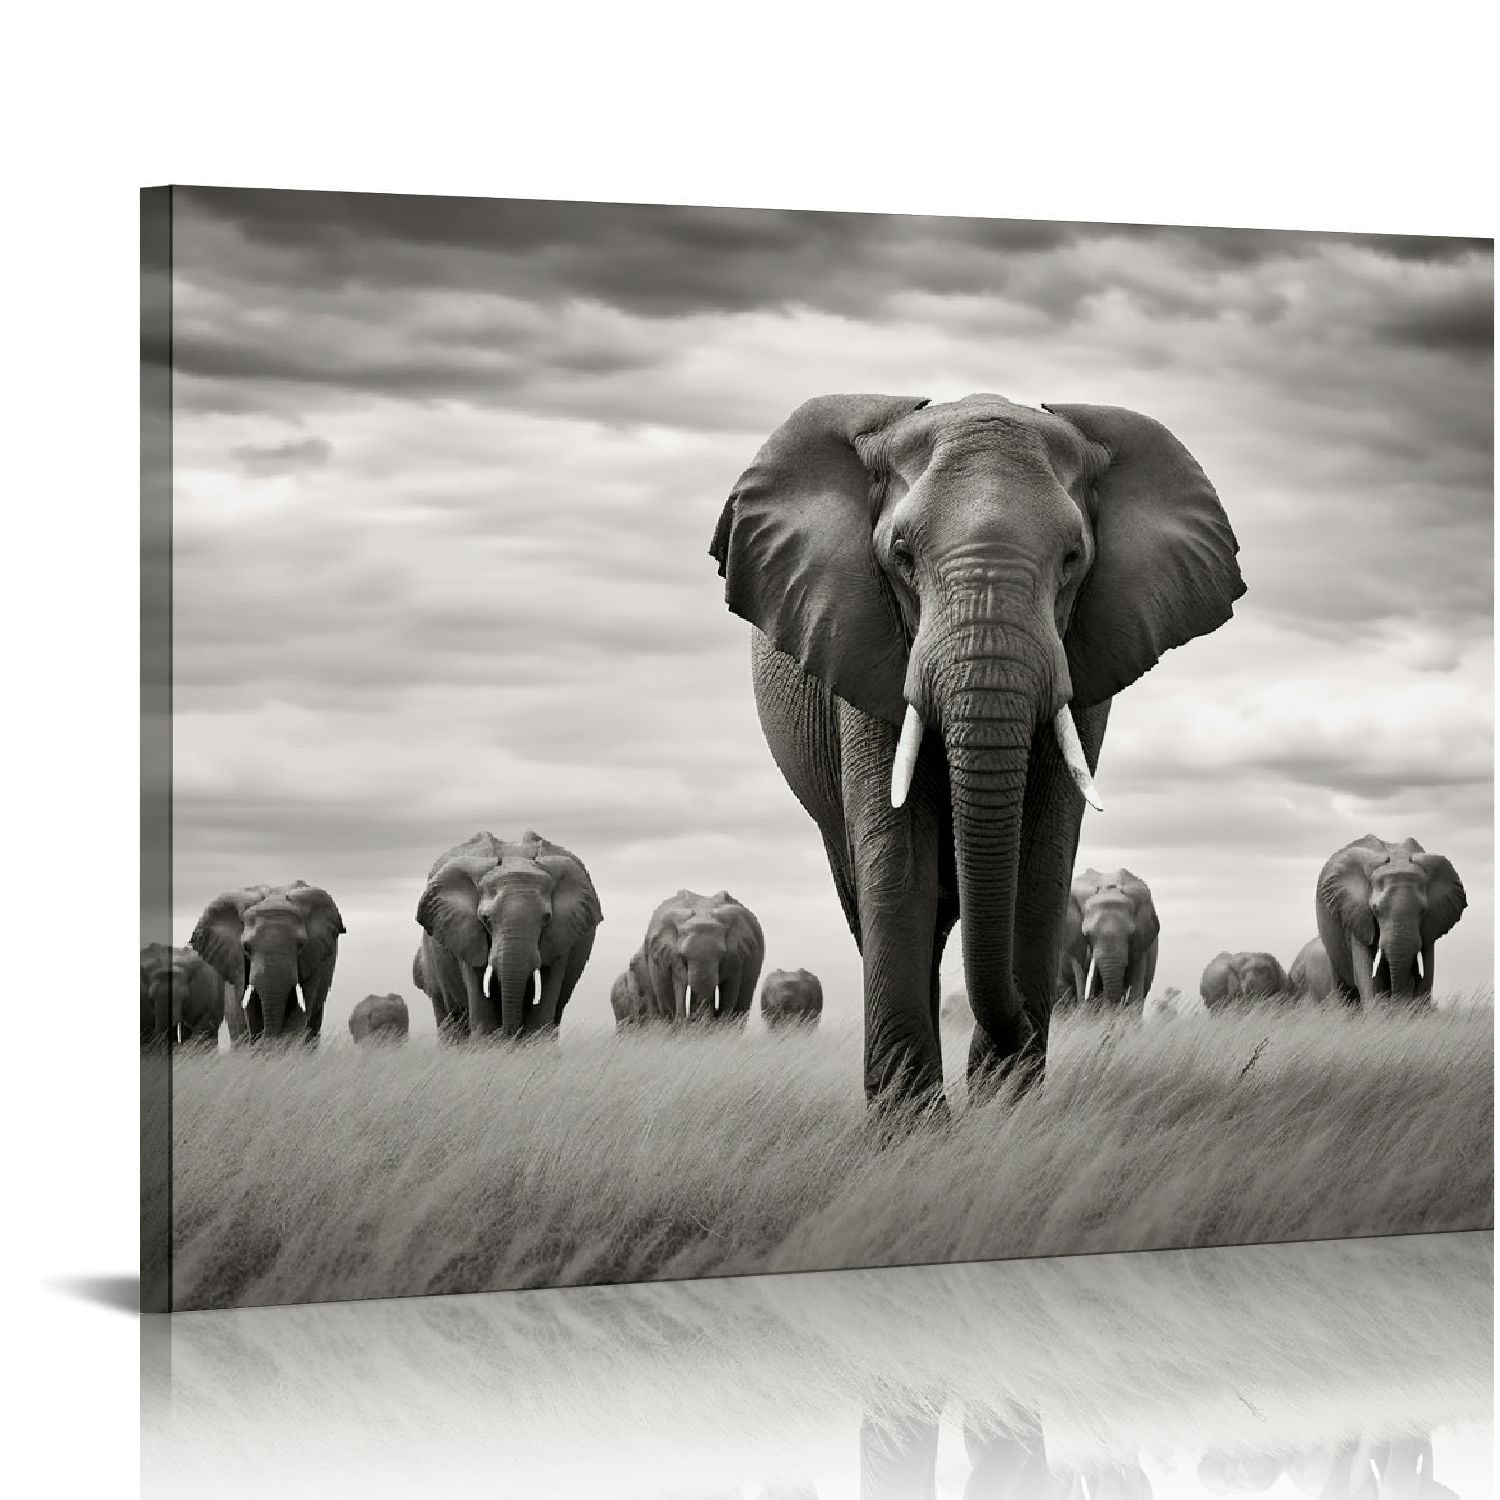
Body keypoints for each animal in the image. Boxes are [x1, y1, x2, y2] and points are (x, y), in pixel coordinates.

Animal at [190, 882, 345, 1044]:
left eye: (301, 945)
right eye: (246, 947)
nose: (267, 1037)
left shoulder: (314, 960)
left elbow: (298, 1014)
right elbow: (250, 1008)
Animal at [415, 830, 602, 1039]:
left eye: (546, 918)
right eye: (485, 919)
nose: (509, 1035)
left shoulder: (562, 935)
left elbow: (543, 1011)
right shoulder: (466, 935)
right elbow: (482, 1011)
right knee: (448, 1015)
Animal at [623, 889, 766, 1024]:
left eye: (722, 955)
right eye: (683, 955)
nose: (694, 1017)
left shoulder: (737, 955)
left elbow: (730, 992)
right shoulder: (670, 956)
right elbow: (678, 986)